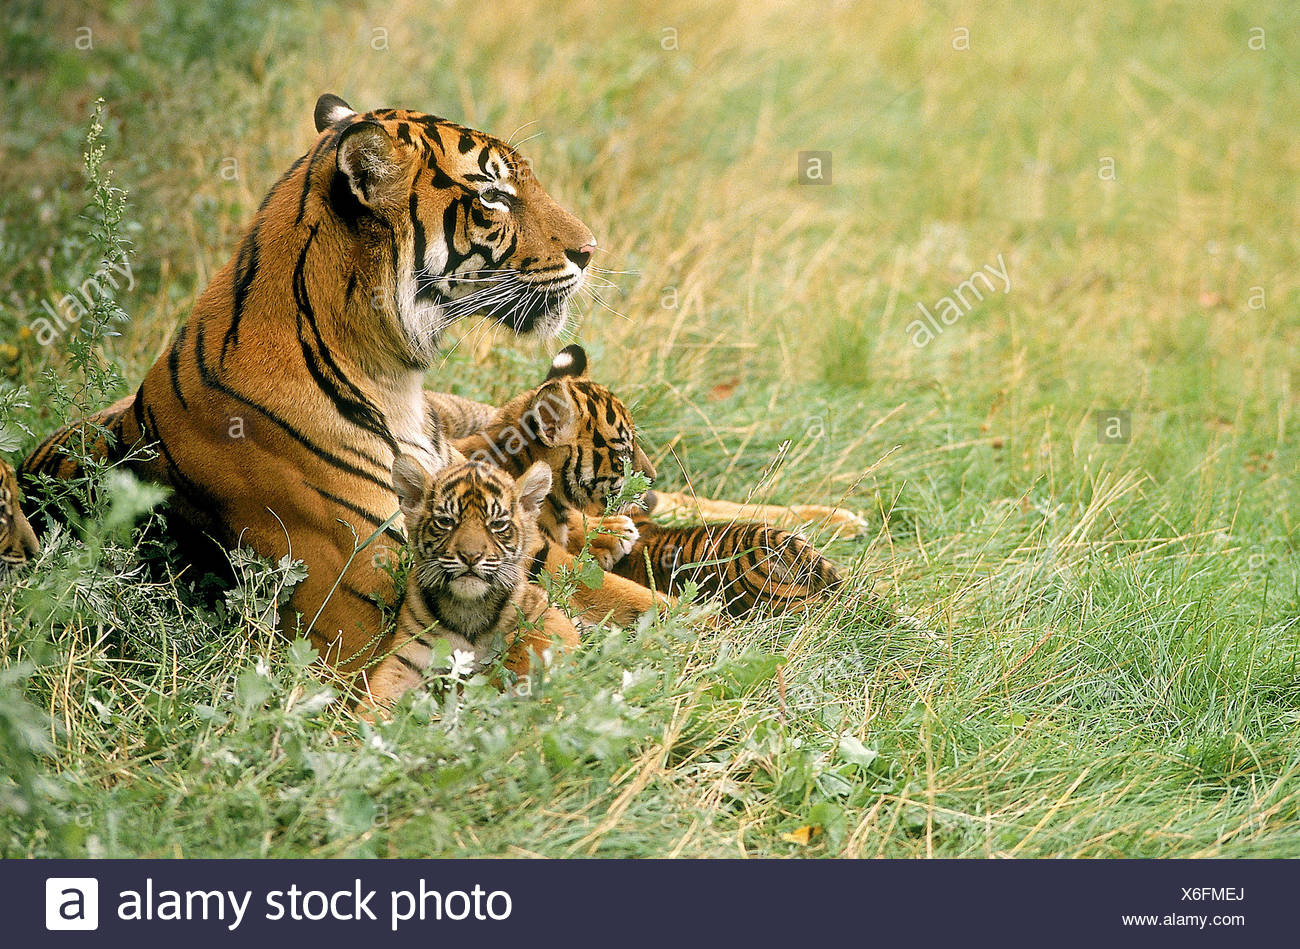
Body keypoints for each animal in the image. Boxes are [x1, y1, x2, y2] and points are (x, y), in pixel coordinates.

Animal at [359, 456, 578, 712]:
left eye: (497, 524)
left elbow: (524, 649)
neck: (468, 607)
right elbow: (377, 699)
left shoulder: (551, 619)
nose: (471, 556)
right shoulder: (408, 657)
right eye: (446, 521)